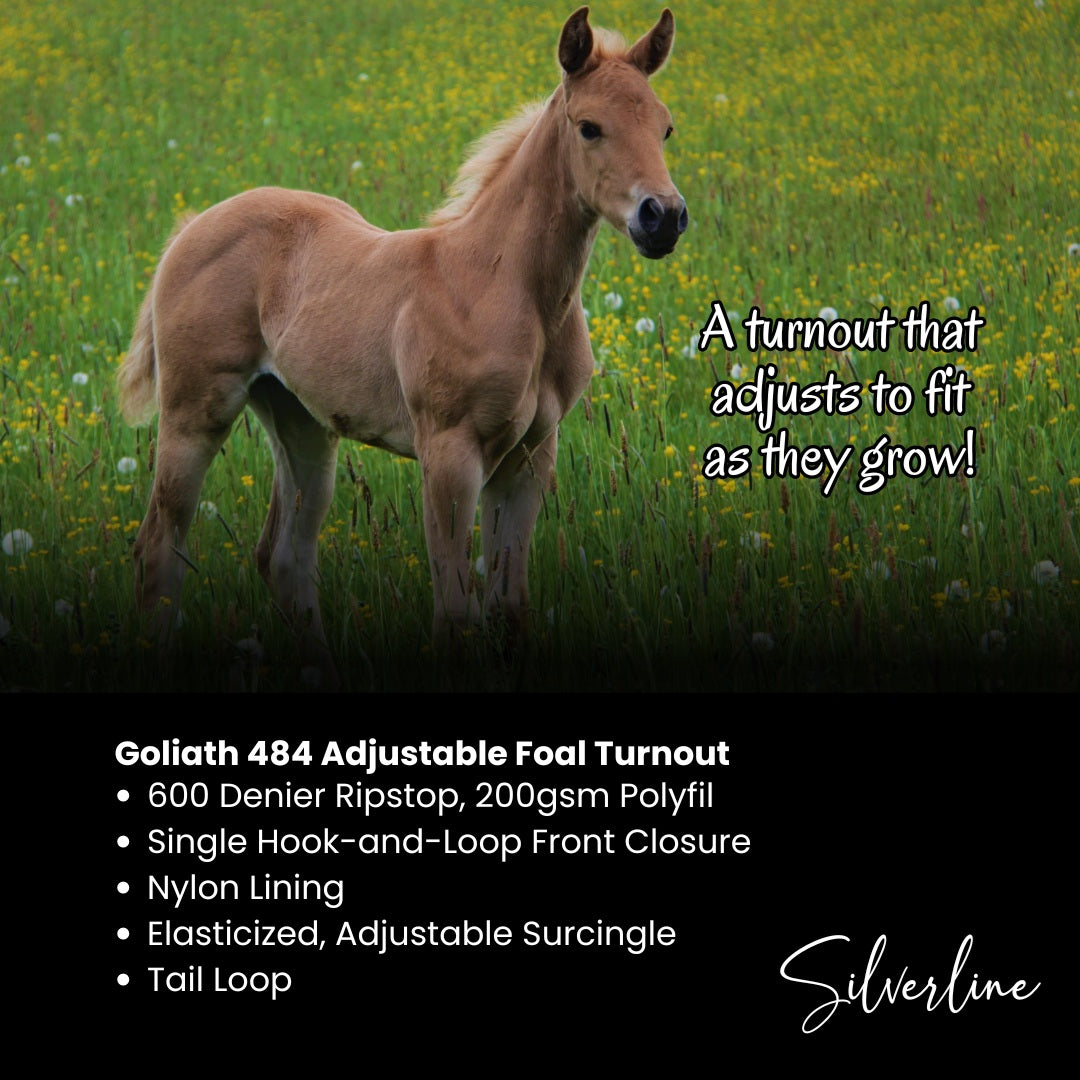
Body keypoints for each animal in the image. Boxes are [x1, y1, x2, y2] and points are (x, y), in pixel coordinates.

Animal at [116, 6, 688, 688]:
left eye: (665, 127)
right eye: (590, 128)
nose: (662, 217)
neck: (504, 286)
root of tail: (189, 229)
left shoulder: (529, 456)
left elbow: (510, 613)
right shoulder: (449, 451)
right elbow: (456, 616)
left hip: (301, 422)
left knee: (283, 558)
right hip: (195, 413)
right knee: (159, 549)